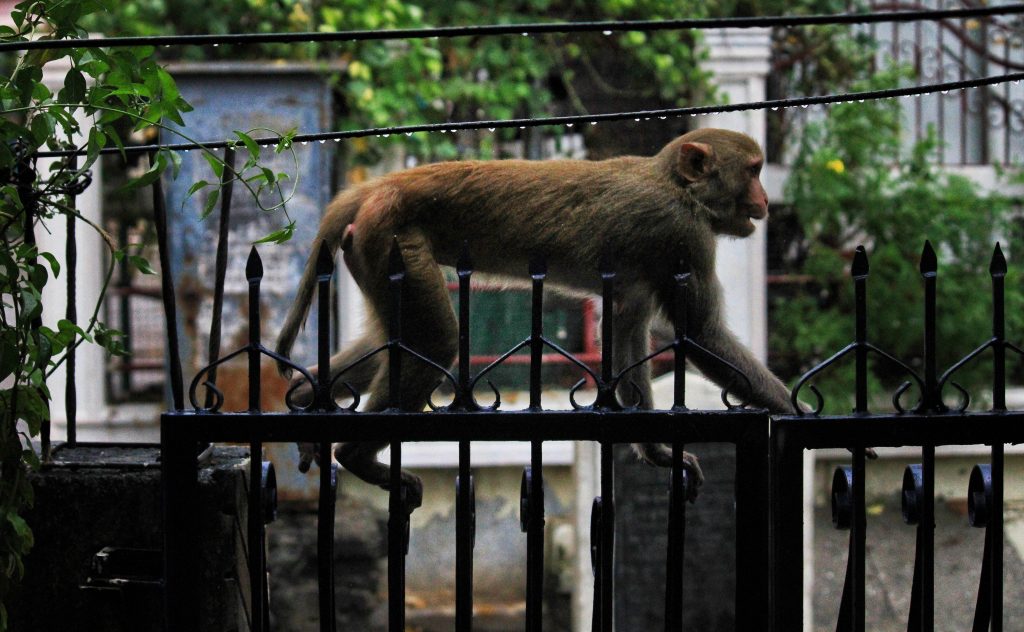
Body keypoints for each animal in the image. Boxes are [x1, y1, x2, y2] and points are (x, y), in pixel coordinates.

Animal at [275, 128, 794, 509]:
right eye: (753, 172)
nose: (766, 201)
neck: (676, 187)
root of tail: (385, 185)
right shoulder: (685, 236)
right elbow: (701, 334)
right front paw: (790, 409)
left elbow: (626, 330)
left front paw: (657, 451)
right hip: (392, 239)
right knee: (436, 341)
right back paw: (356, 456)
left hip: (371, 246)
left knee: (395, 340)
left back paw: (305, 395)